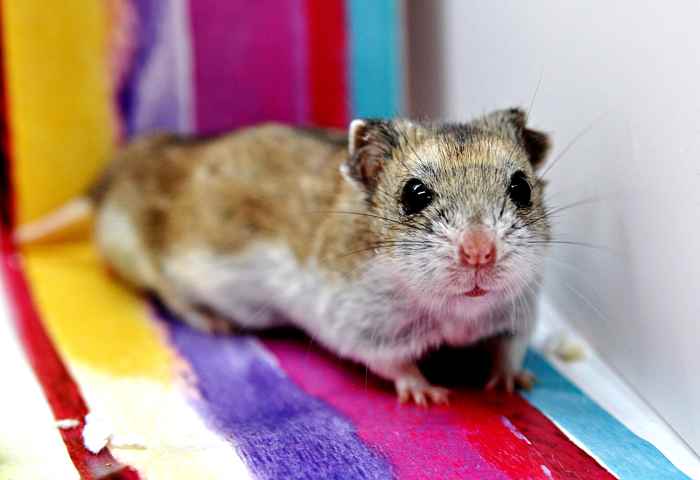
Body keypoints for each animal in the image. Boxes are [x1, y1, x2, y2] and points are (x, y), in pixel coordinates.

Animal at [19, 108, 551, 405]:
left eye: (521, 188)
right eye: (414, 194)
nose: (480, 253)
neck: (456, 313)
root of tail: (115, 178)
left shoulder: (518, 312)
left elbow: (508, 350)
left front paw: (513, 382)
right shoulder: (367, 331)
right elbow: (398, 367)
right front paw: (431, 394)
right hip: (153, 261)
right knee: (172, 296)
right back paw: (216, 323)